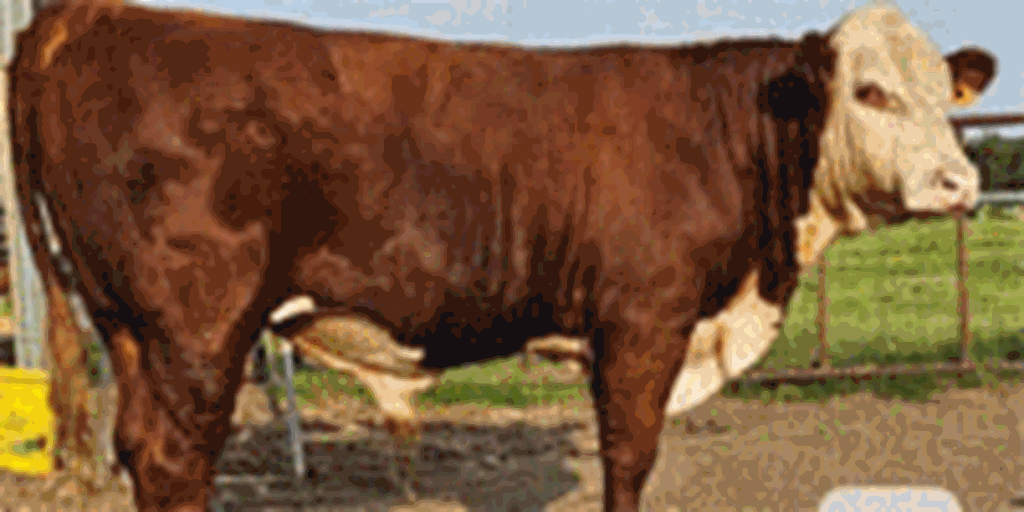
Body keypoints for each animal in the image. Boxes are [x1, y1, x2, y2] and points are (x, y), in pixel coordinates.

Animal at [6, 0, 996, 510]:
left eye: (943, 94)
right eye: (869, 92)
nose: (960, 181)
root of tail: (89, 15)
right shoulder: (645, 318)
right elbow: (629, 455)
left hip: (128, 322)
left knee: (140, 448)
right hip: (199, 325)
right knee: (178, 457)